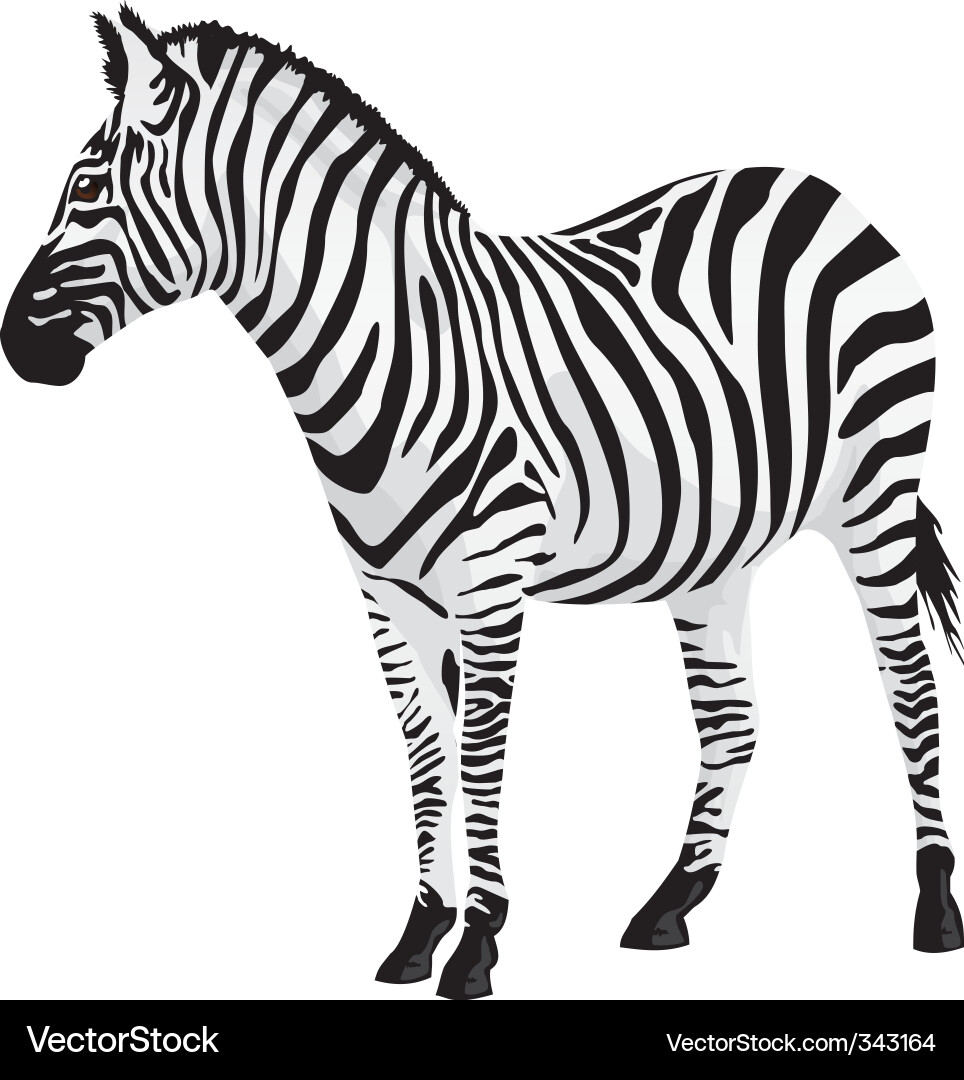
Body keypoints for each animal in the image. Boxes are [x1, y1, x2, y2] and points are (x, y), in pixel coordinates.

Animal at [3, 6, 963, 1001]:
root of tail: (826, 190)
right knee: (732, 717)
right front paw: (420, 932)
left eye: (84, 190)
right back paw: (671, 906)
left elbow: (481, 754)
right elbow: (426, 751)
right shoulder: (386, 594)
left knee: (912, 687)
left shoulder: (490, 581)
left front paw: (476, 944)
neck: (390, 346)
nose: (13, 346)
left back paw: (934, 913)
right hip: (718, 544)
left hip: (875, 496)